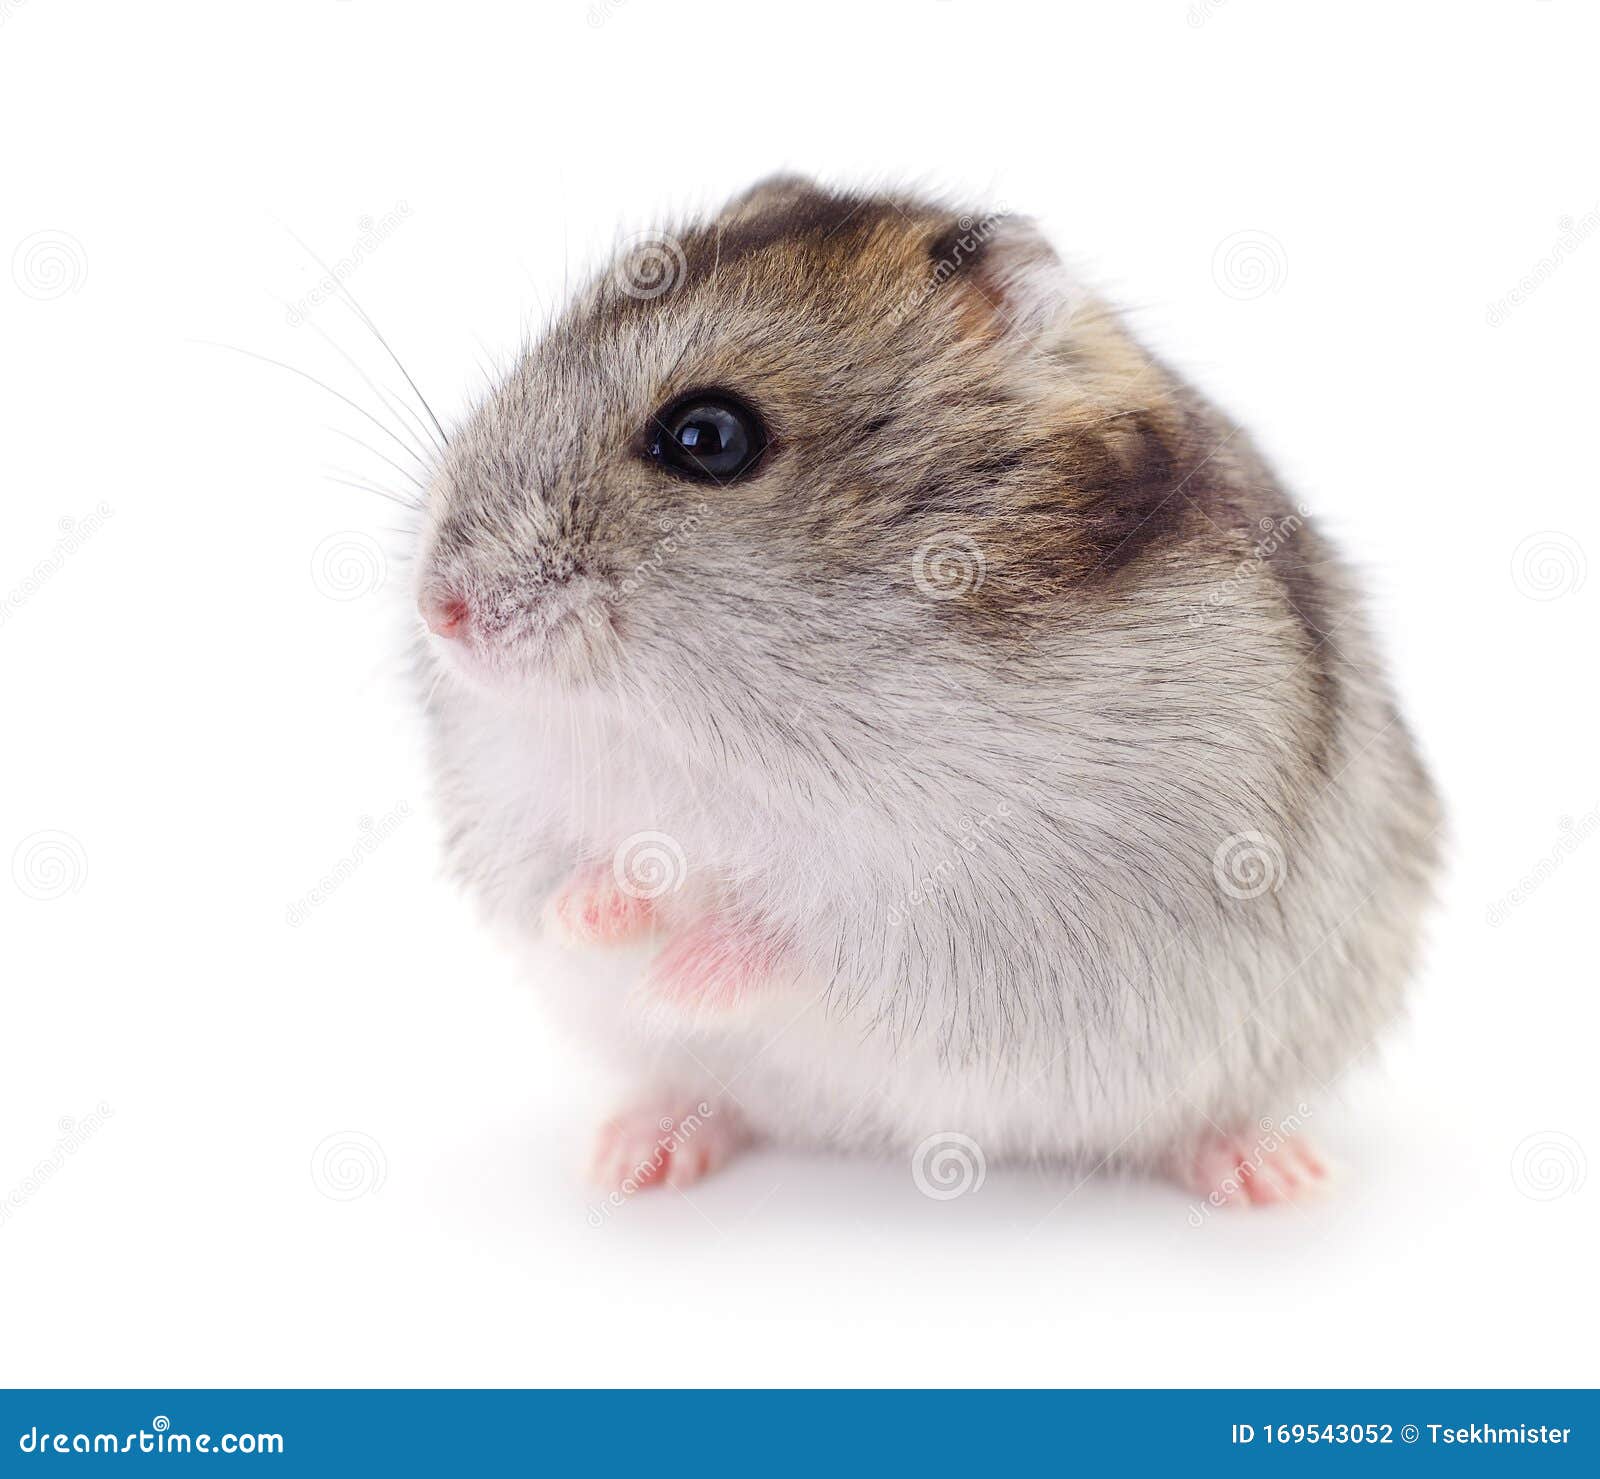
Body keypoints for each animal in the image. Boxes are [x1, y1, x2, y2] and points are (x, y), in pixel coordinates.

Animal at [413, 176, 1441, 1208]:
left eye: (710, 437)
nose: (438, 610)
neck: (714, 731)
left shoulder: (1008, 899)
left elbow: (803, 929)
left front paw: (674, 977)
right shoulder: (520, 818)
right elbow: (581, 880)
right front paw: (596, 916)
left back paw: (1277, 1176)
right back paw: (632, 1159)